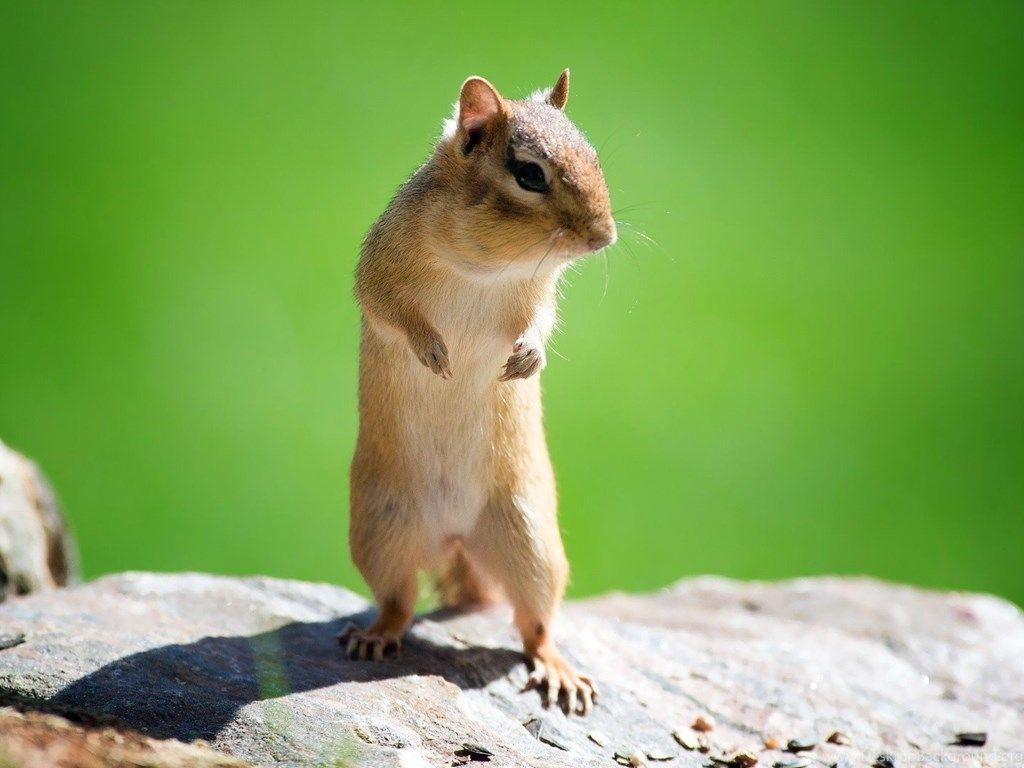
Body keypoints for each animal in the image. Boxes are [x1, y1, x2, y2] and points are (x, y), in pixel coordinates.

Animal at [342, 70, 615, 715]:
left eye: (594, 156)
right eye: (530, 174)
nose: (606, 236)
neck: (488, 266)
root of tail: (455, 537)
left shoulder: (540, 293)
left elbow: (541, 323)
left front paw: (527, 357)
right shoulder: (379, 268)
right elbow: (387, 309)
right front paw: (433, 352)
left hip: (532, 541)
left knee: (535, 625)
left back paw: (558, 670)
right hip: (380, 532)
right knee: (399, 601)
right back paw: (376, 635)